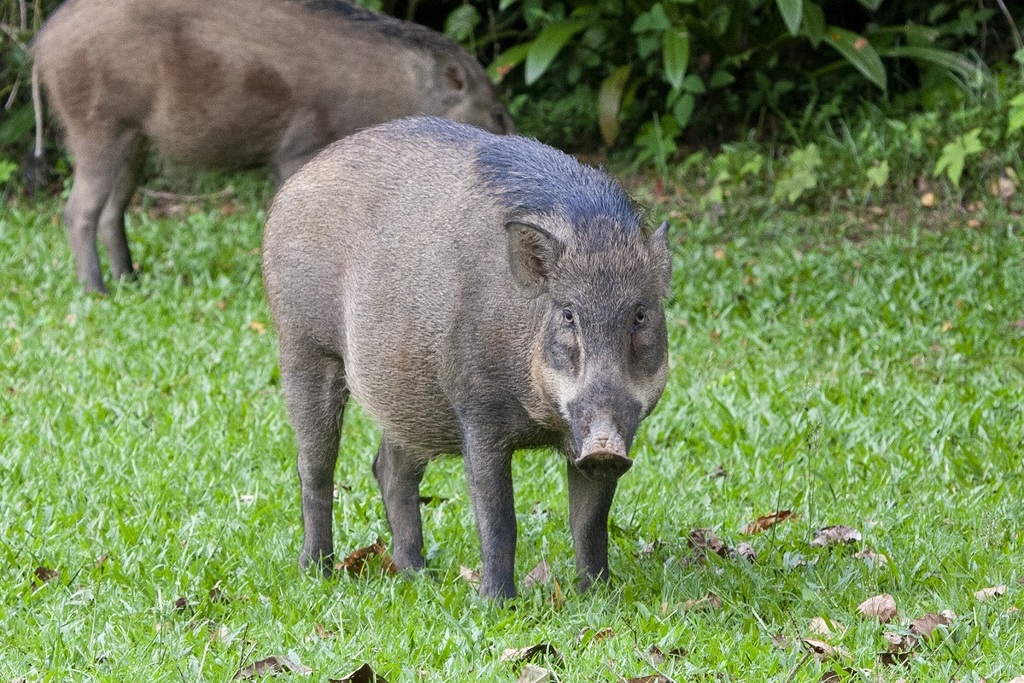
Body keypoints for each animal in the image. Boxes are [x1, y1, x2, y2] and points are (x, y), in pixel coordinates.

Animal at [32, 0, 513, 294]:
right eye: (497, 114)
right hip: (97, 128)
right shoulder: (298, 148)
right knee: (78, 212)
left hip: (134, 141)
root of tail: (41, 44)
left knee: (112, 211)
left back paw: (129, 279)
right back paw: (96, 290)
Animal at [262, 117, 671, 600]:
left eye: (640, 314)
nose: (604, 447)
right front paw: (497, 602)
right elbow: (498, 518)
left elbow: (590, 522)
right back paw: (317, 572)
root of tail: (294, 183)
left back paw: (416, 575)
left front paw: (597, 594)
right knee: (315, 467)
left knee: (390, 469)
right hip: (303, 348)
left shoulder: (601, 435)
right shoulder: (477, 411)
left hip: (408, 394)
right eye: (568, 314)